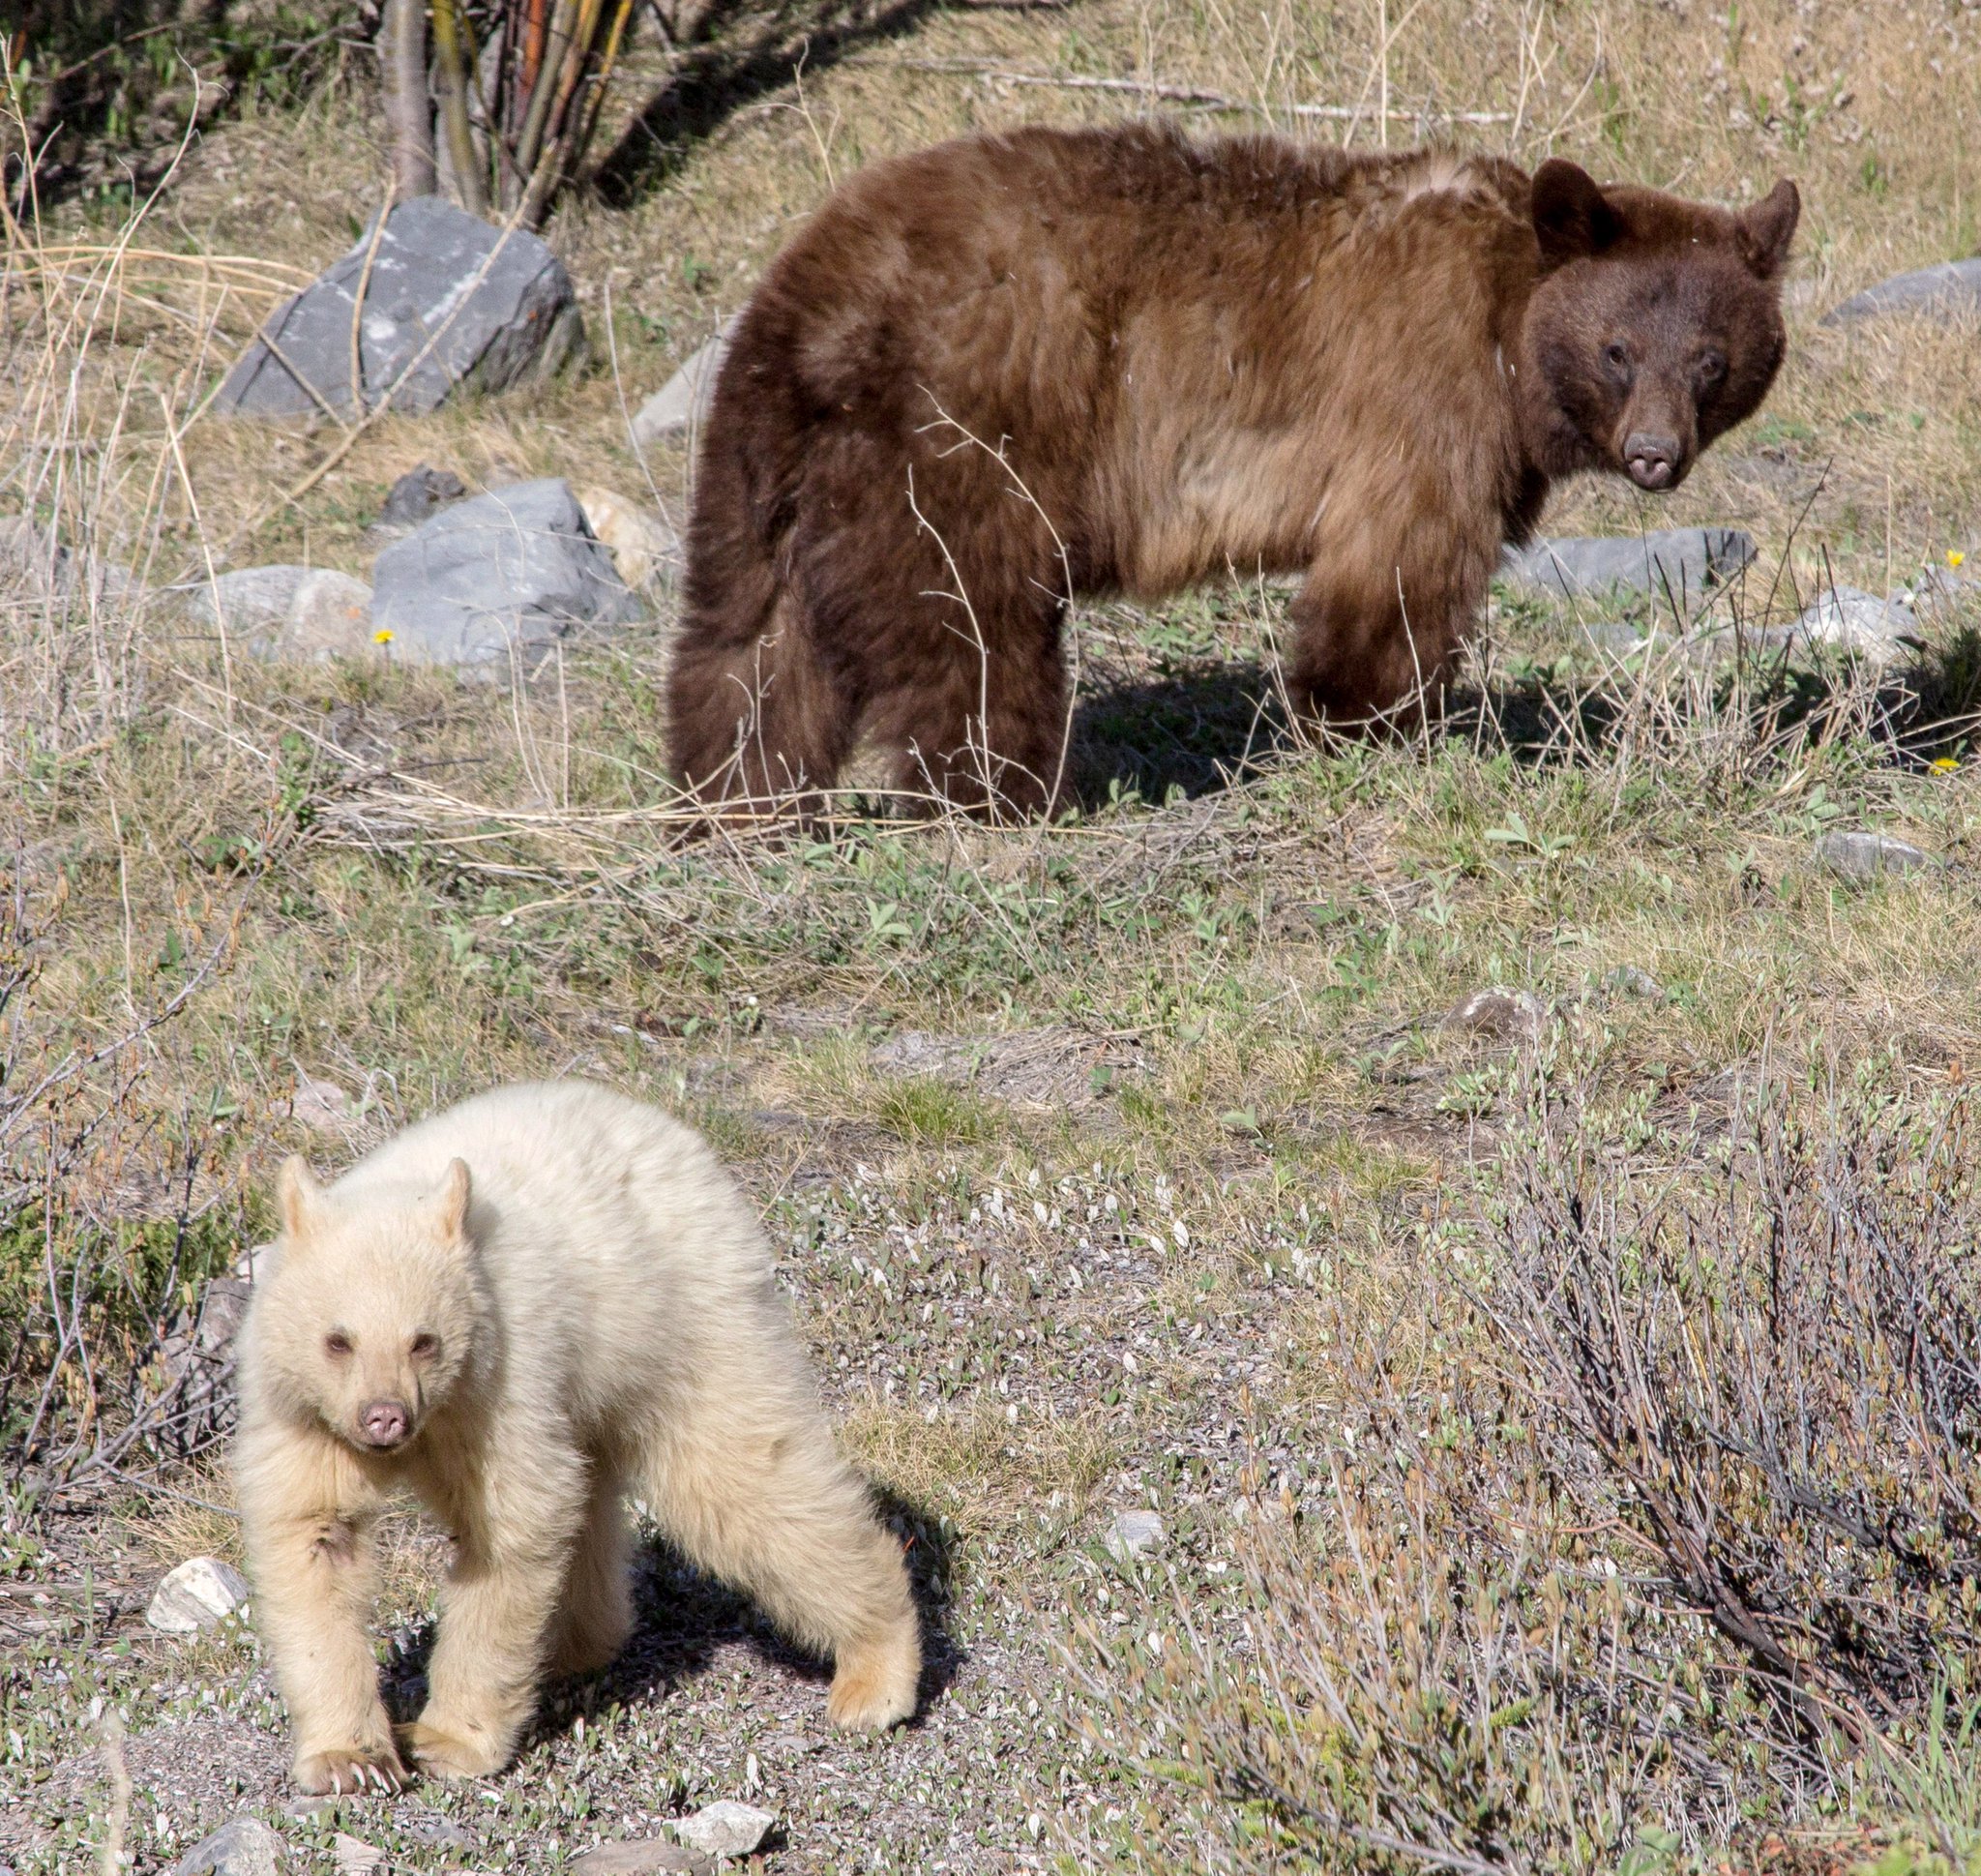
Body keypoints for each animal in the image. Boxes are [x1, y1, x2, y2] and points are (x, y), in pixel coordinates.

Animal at [233, 1080, 920, 1794]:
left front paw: (447, 1740)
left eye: (424, 1340)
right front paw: (351, 1758)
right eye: (337, 1340)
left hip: (683, 1315)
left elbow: (509, 1528)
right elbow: (314, 1534)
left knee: (744, 1482)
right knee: (600, 1505)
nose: (384, 1415)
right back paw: (575, 1644)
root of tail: (669, 1131)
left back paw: (874, 1674)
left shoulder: (501, 1383)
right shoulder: (301, 1413)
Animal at [665, 124, 1799, 819]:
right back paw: (1008, 795)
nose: (1654, 454)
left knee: (746, 649)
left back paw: (727, 808)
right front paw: (1370, 726)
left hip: (766, 469)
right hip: (957, 443)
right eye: (1617, 349)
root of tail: (808, 304)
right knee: (973, 636)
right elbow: (1395, 567)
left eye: (1711, 359)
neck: (1506, 324)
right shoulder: (1419, 388)